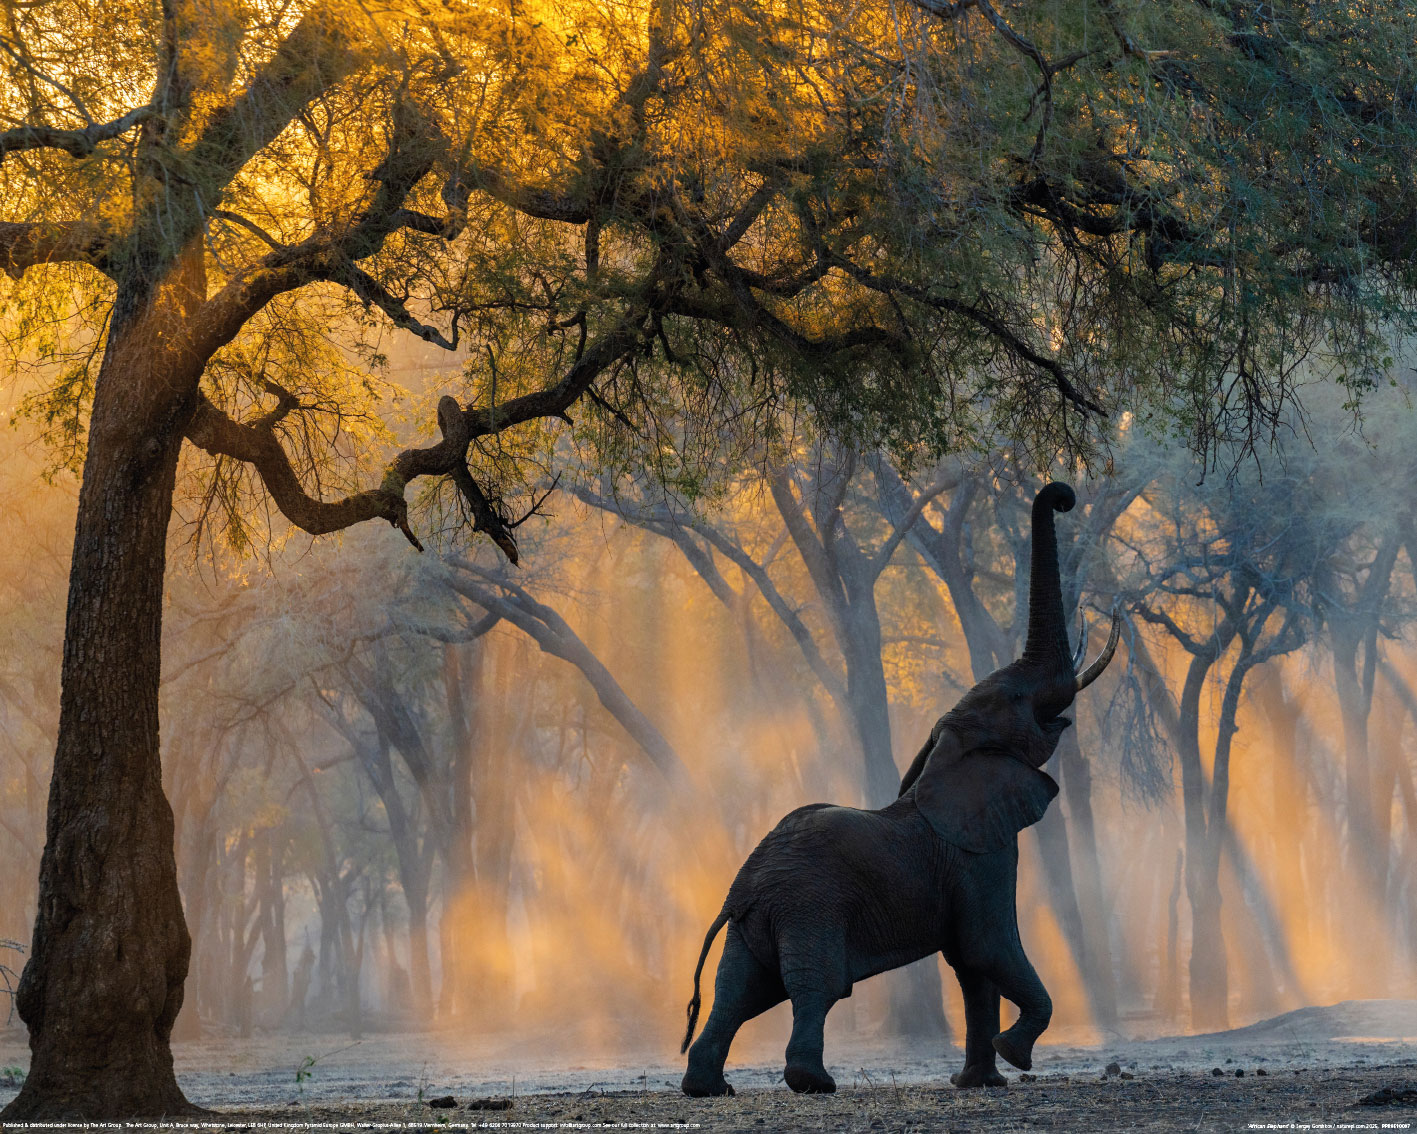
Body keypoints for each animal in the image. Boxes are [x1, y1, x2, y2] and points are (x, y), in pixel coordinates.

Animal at [679, 481, 1120, 1097]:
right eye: (1016, 699)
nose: (1063, 496)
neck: (945, 752)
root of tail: (740, 891)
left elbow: (971, 965)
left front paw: (980, 1082)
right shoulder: (979, 857)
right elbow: (987, 945)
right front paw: (1014, 1055)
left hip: (753, 925)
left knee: (739, 991)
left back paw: (708, 1087)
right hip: (809, 908)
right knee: (815, 988)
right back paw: (814, 1082)